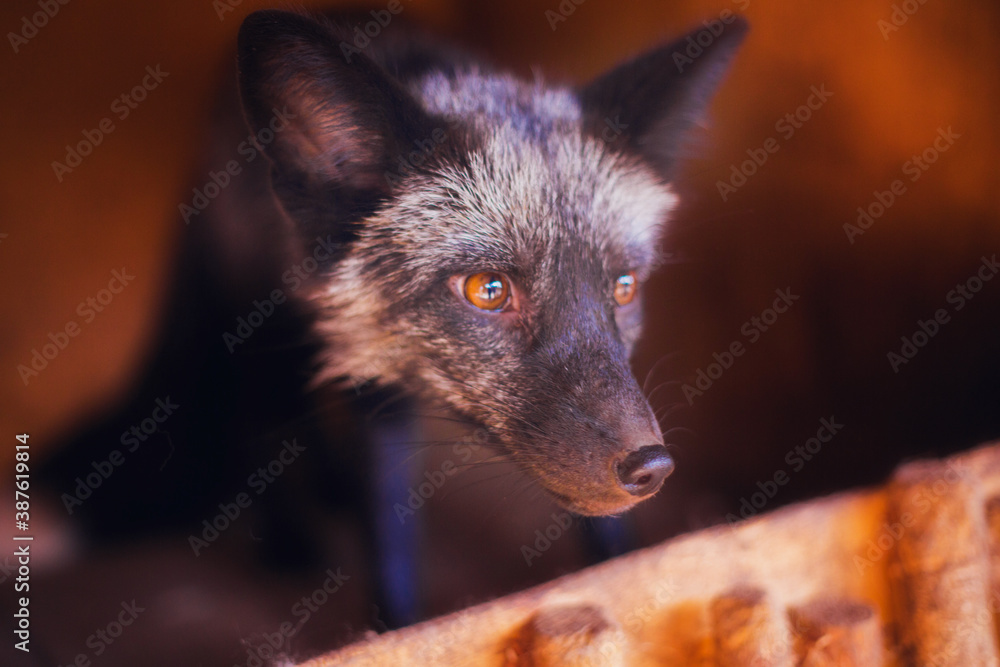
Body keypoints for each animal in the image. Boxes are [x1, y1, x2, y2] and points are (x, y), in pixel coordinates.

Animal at [41, 9, 747, 629]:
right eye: (488, 290)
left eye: (623, 288)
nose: (651, 467)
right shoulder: (371, 377)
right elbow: (390, 534)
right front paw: (398, 630)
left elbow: (606, 540)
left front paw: (626, 568)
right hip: (256, 328)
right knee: (259, 418)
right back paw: (289, 544)